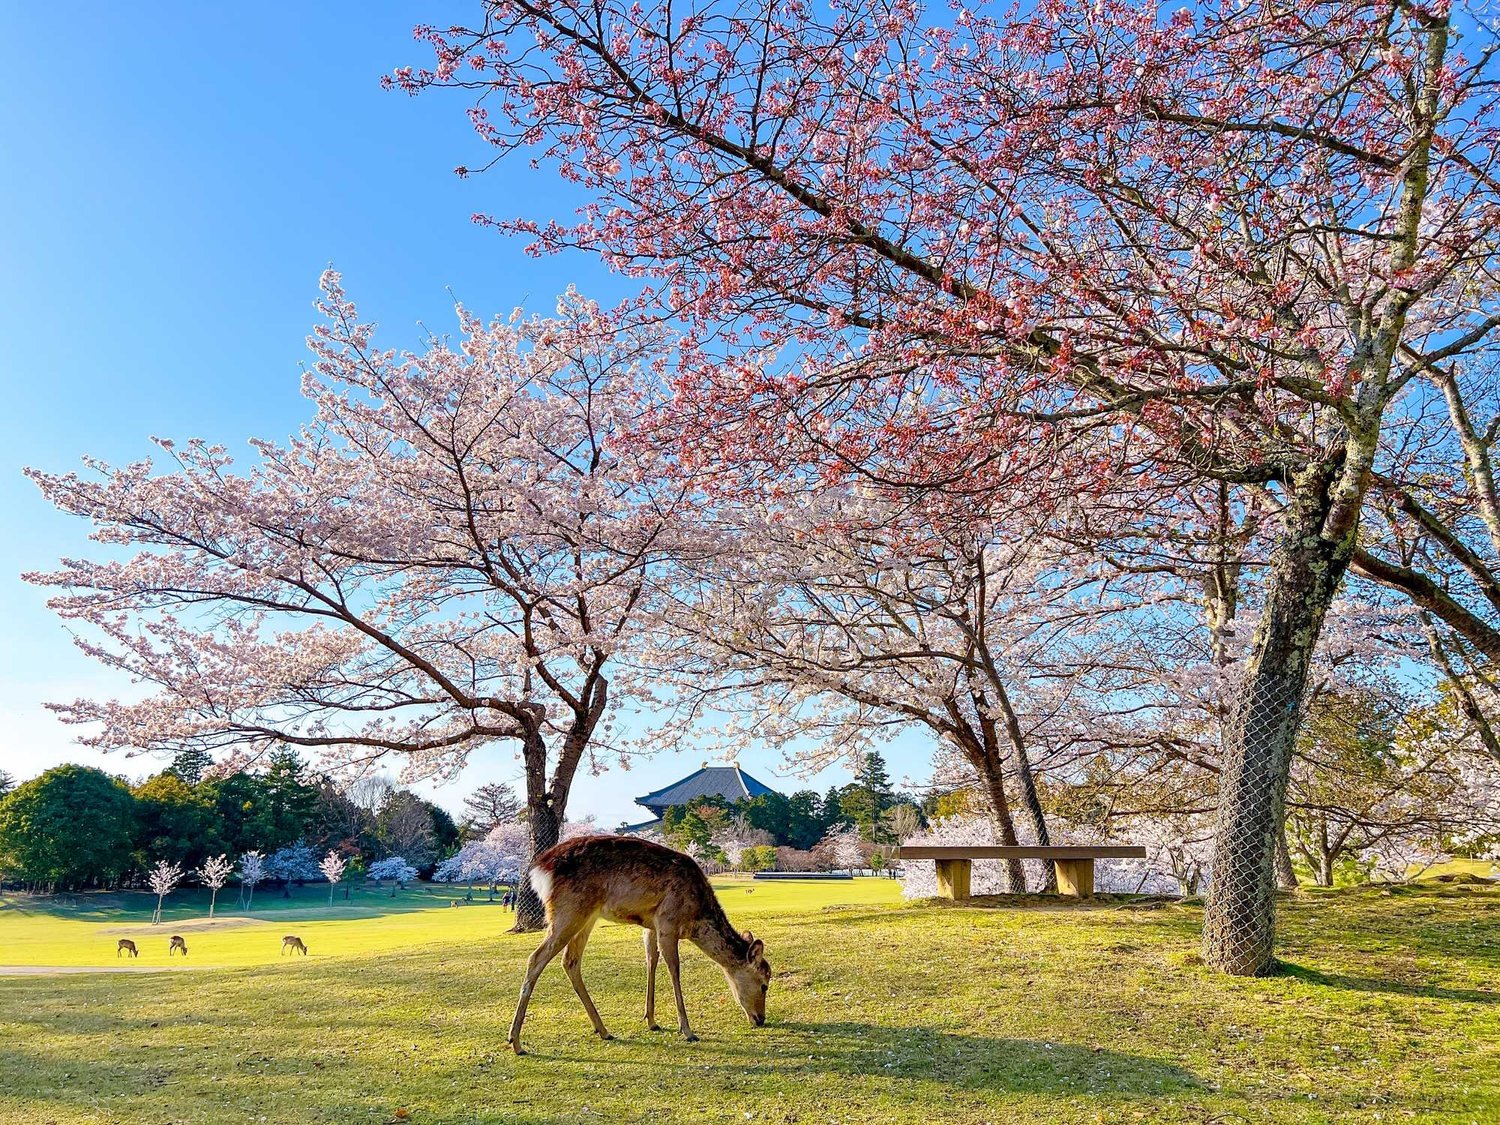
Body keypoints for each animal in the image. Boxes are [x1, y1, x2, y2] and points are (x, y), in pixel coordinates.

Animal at [507, 835, 771, 1055]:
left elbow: (651, 960)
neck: (694, 918)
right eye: (765, 984)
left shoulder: (651, 924)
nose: (761, 1019)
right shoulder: (668, 921)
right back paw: (516, 1041)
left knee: (570, 960)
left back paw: (603, 1030)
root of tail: (539, 869)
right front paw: (687, 1030)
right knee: (536, 958)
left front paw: (652, 1021)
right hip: (568, 910)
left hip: (586, 916)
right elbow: (674, 968)